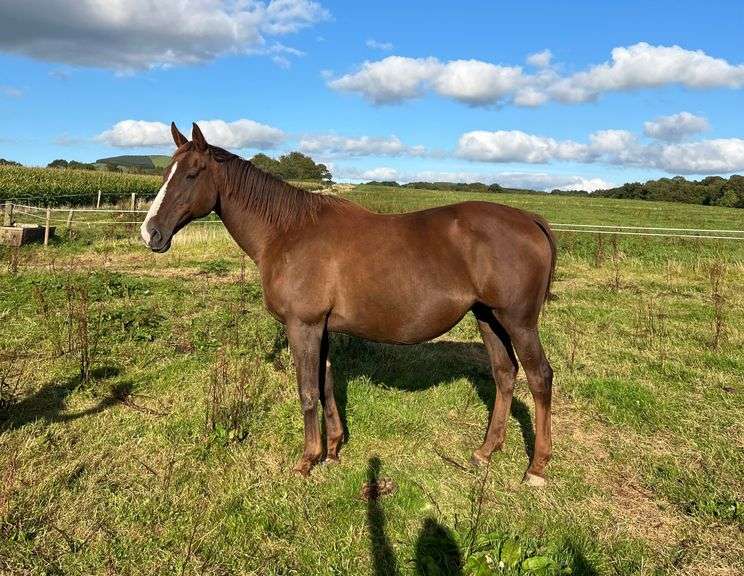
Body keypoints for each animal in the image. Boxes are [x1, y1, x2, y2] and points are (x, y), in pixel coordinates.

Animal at [141, 122, 556, 485]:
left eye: (192, 174)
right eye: (164, 173)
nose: (151, 233)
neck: (288, 232)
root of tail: (529, 219)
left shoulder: (303, 325)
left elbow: (308, 391)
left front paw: (307, 459)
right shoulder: (320, 327)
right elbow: (325, 383)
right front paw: (334, 449)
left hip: (518, 322)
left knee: (539, 377)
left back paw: (536, 468)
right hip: (488, 318)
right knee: (505, 374)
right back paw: (486, 451)